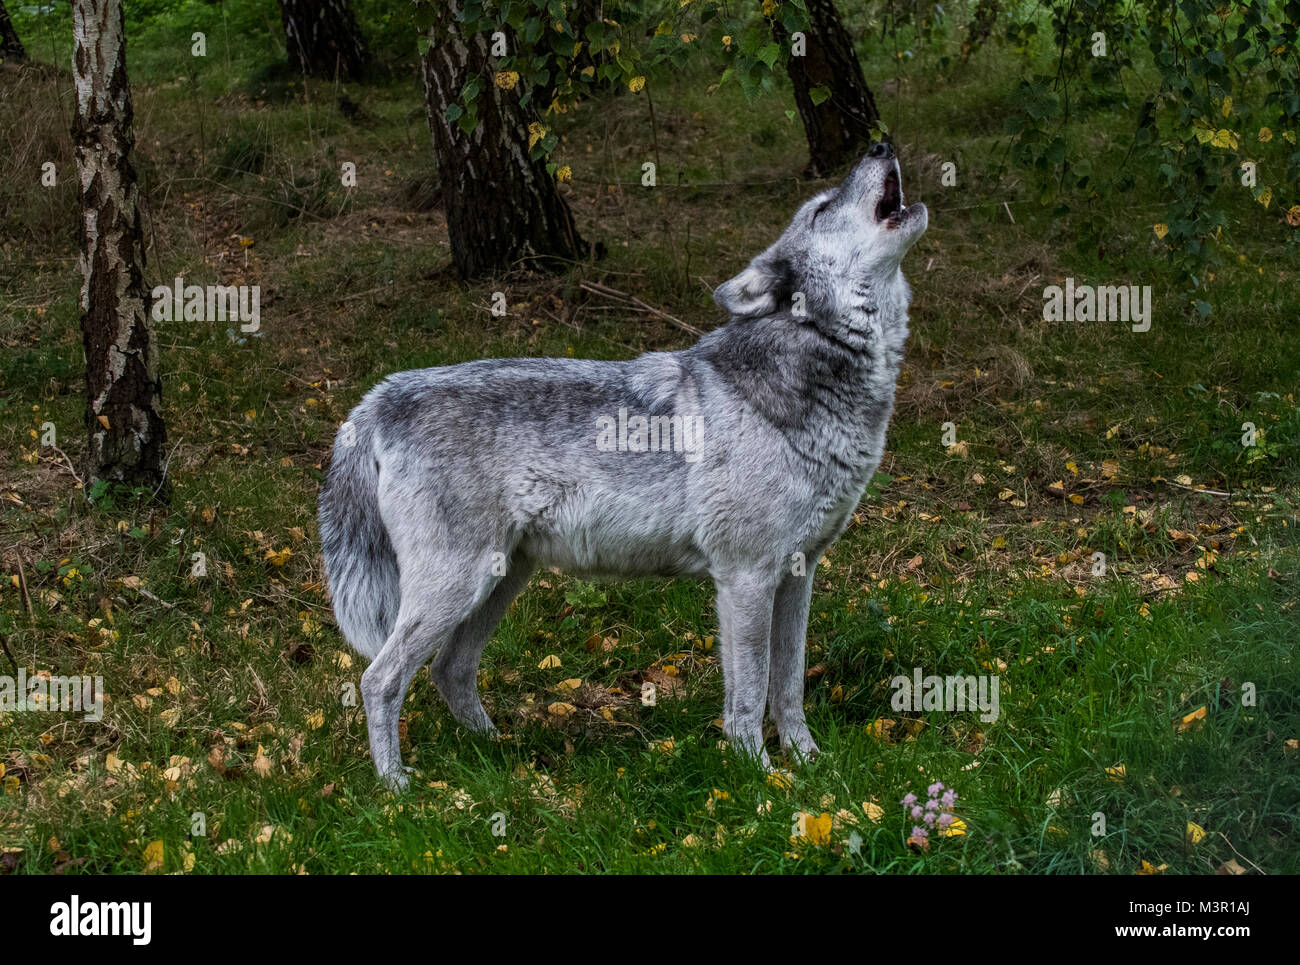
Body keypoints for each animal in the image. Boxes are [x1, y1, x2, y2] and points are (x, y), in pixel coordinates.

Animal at [319, 142, 928, 789]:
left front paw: (811, 767)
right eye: (820, 209)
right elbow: (747, 696)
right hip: (458, 586)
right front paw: (760, 777)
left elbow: (787, 688)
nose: (879, 145)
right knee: (380, 679)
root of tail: (379, 398)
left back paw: (500, 754)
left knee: (449, 670)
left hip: (501, 581)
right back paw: (397, 788)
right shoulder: (745, 577)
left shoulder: (798, 573)